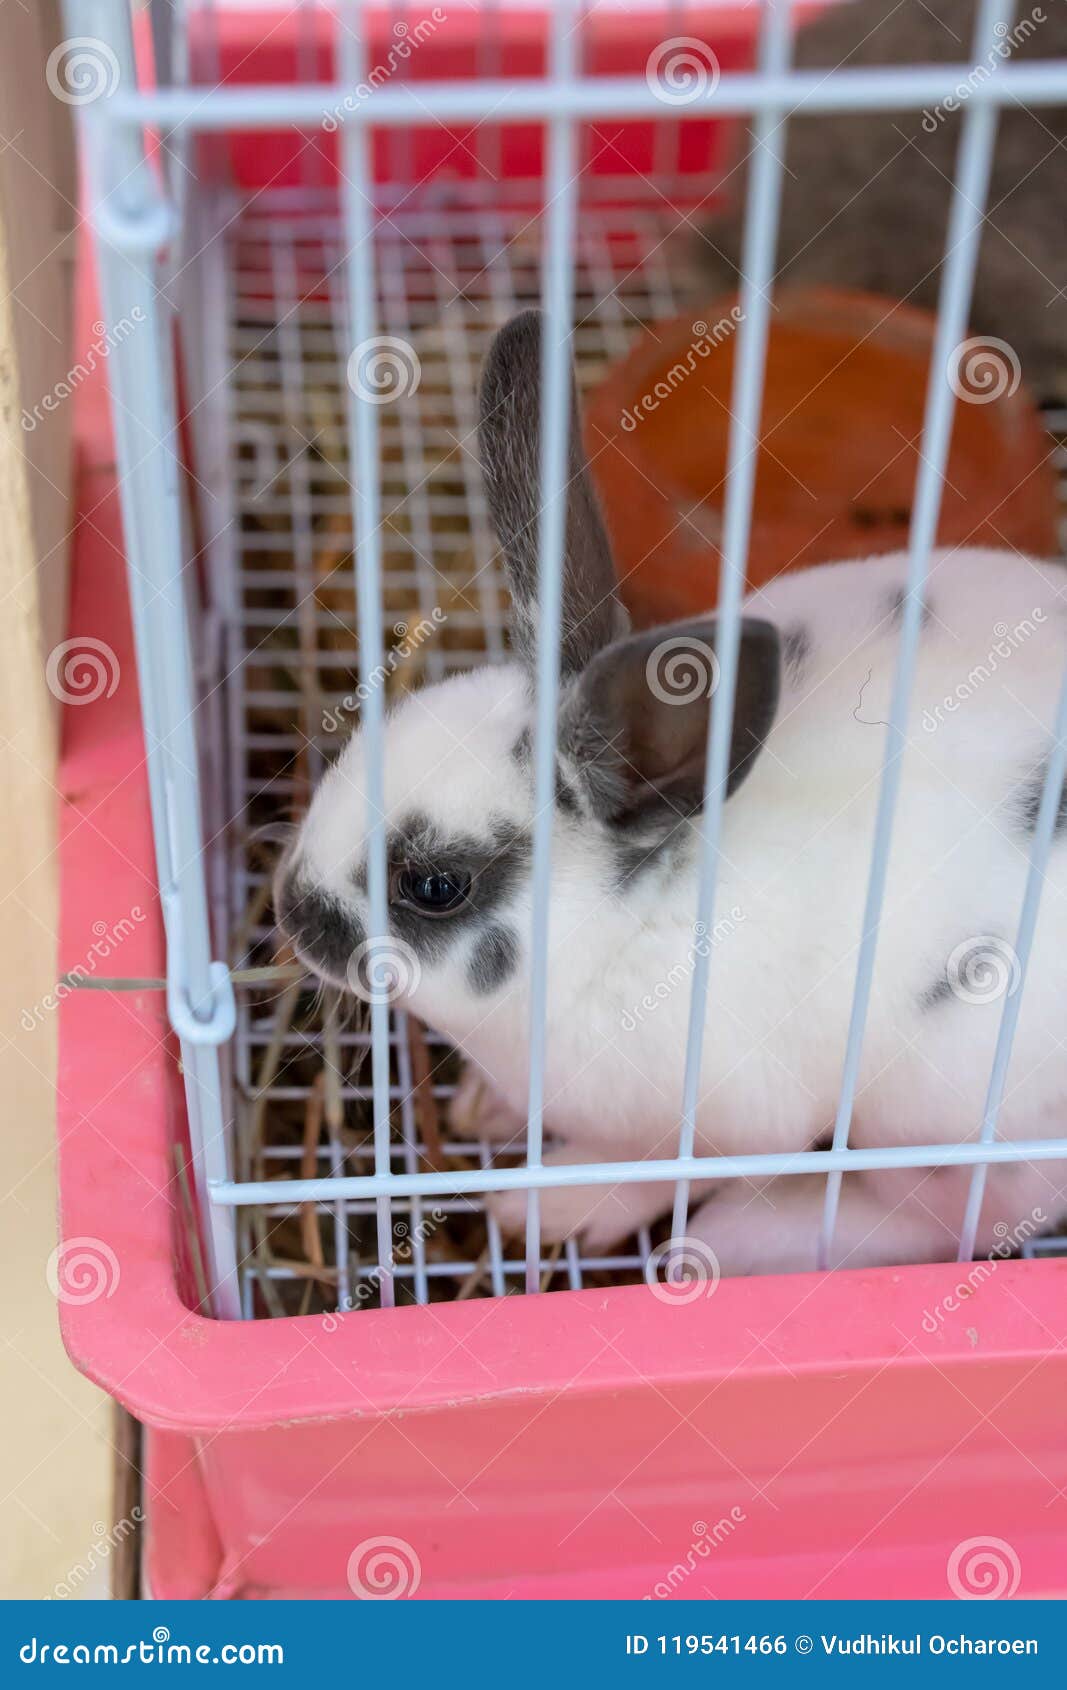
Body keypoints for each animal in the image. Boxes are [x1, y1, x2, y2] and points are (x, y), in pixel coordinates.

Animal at [276, 308, 1067, 1277]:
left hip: (943, 1119)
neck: (624, 926)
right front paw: (483, 1110)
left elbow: (657, 1165)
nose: (292, 911)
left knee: (952, 1214)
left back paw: (730, 1242)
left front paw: (551, 1206)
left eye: (434, 886)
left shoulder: (731, 1123)